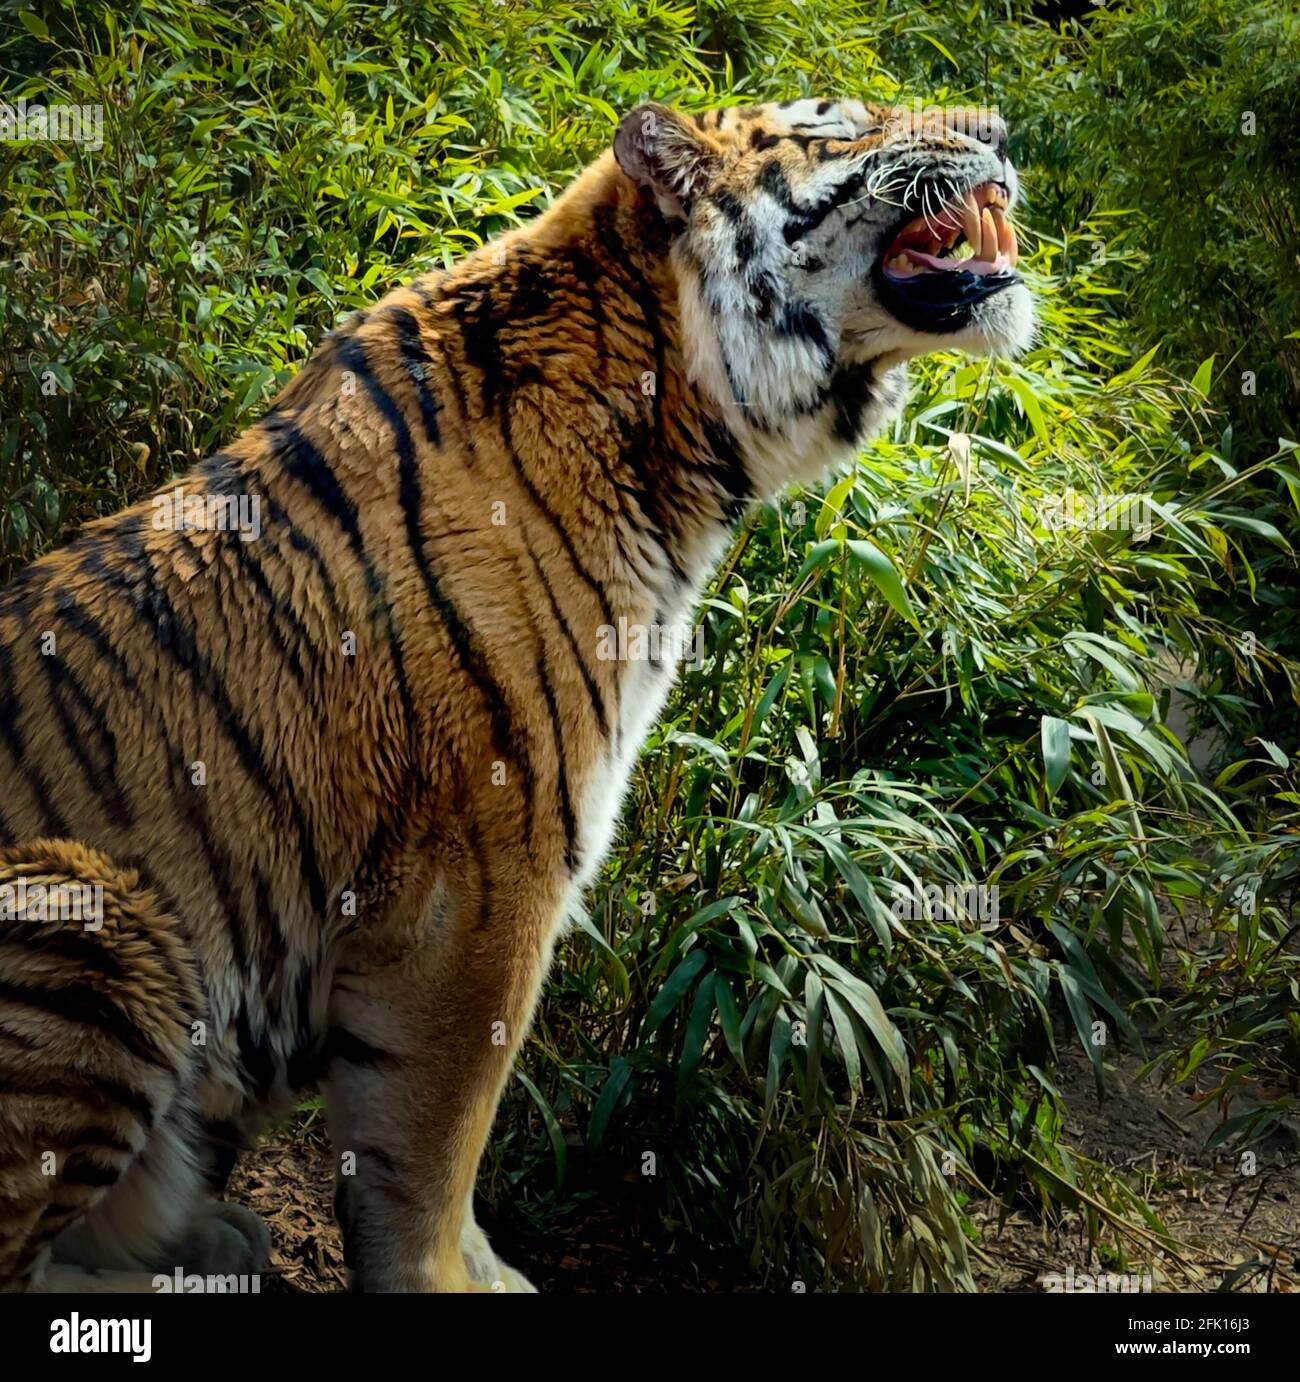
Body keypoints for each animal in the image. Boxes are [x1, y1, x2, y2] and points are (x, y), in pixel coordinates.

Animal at [0, 96, 1033, 1292]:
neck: (678, 436)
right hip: (98, 915)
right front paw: (448, 1279)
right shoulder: (484, 874)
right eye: (837, 122)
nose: (1001, 130)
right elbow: (434, 1140)